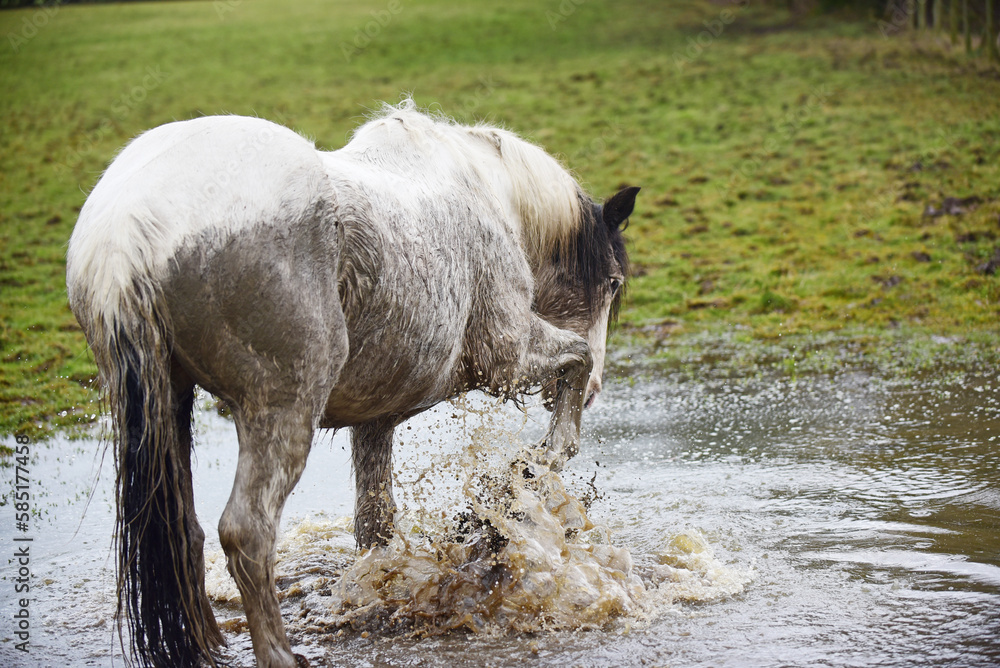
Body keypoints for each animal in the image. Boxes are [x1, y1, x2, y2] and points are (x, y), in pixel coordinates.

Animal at [66, 100, 638, 668]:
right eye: (612, 284)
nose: (596, 393)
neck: (489, 191)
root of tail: (126, 237)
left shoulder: (374, 420)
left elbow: (374, 524)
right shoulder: (506, 357)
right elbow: (577, 363)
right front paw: (527, 472)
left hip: (170, 403)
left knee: (184, 530)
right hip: (283, 408)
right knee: (247, 532)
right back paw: (279, 653)